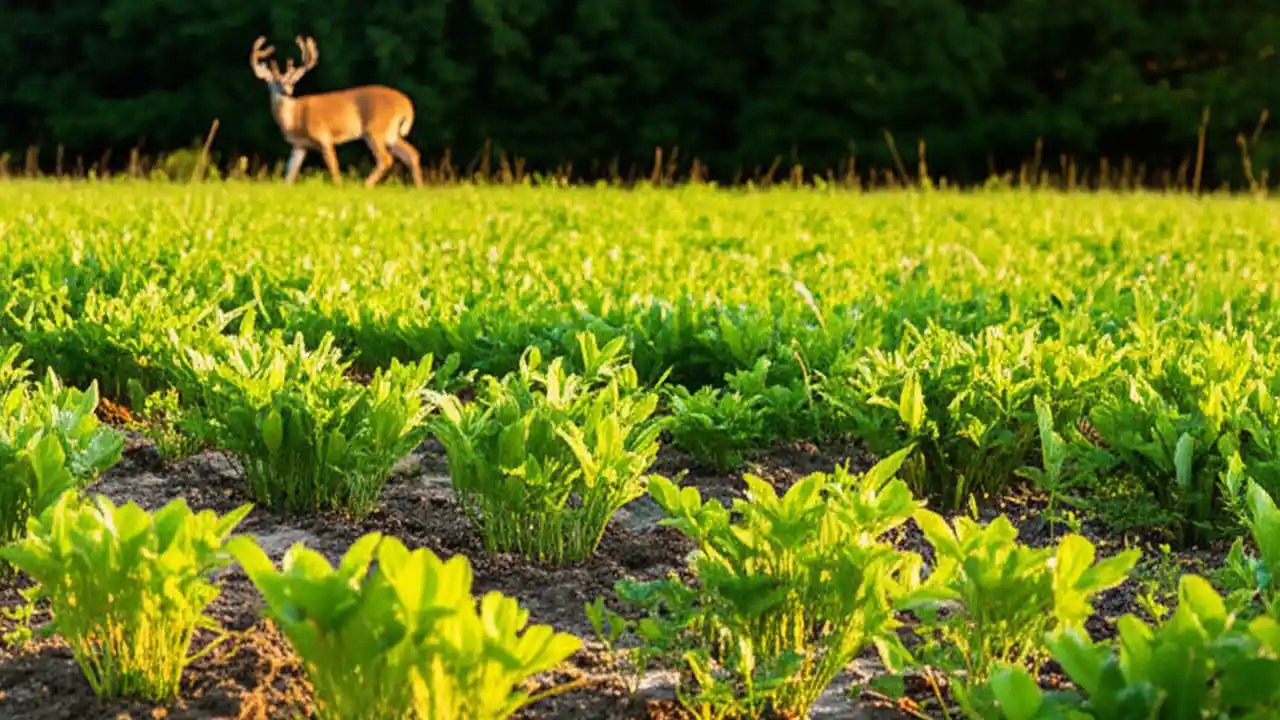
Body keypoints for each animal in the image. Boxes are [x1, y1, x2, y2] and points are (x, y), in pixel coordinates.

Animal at [250, 35, 423, 187]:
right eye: (274, 83)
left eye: (292, 82)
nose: (286, 91)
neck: (293, 118)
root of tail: (406, 104)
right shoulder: (299, 145)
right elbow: (289, 173)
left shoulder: (323, 136)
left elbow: (333, 167)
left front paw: (338, 186)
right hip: (391, 132)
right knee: (412, 154)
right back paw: (419, 188)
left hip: (376, 129)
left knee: (386, 158)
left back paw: (365, 185)